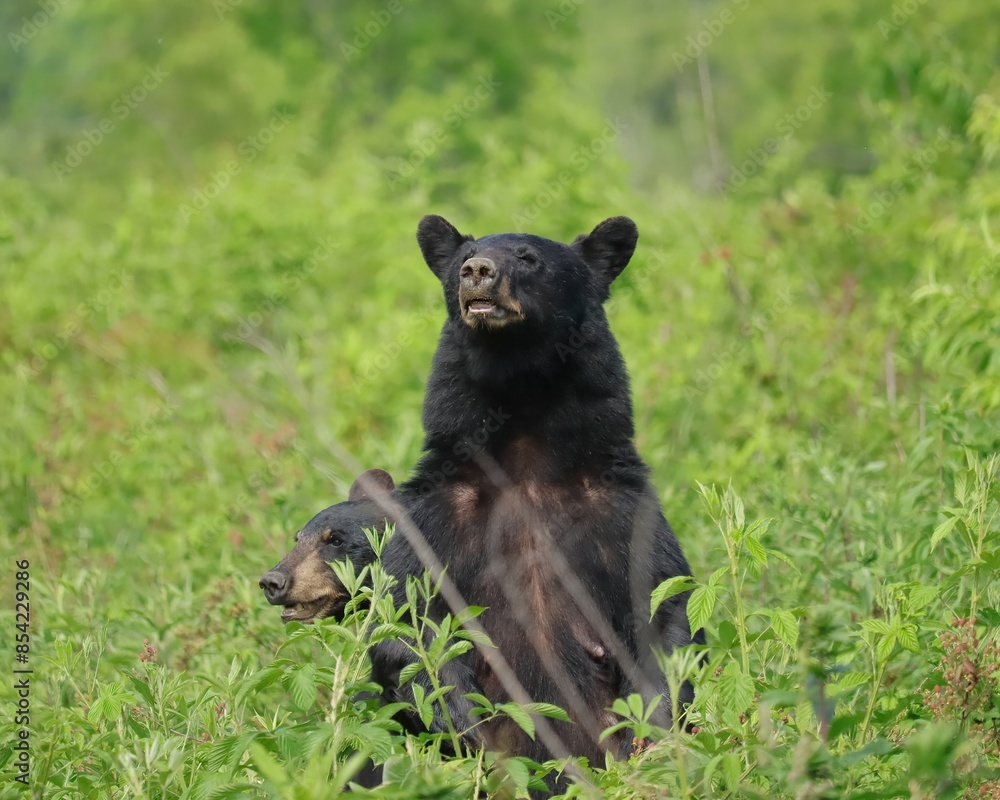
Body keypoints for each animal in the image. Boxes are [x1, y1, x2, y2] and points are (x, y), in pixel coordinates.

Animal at [368, 214, 702, 772]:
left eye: (528, 258)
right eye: (466, 256)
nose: (477, 271)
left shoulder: (621, 510)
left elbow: (661, 607)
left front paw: (652, 736)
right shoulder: (438, 512)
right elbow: (403, 615)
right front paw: (462, 718)